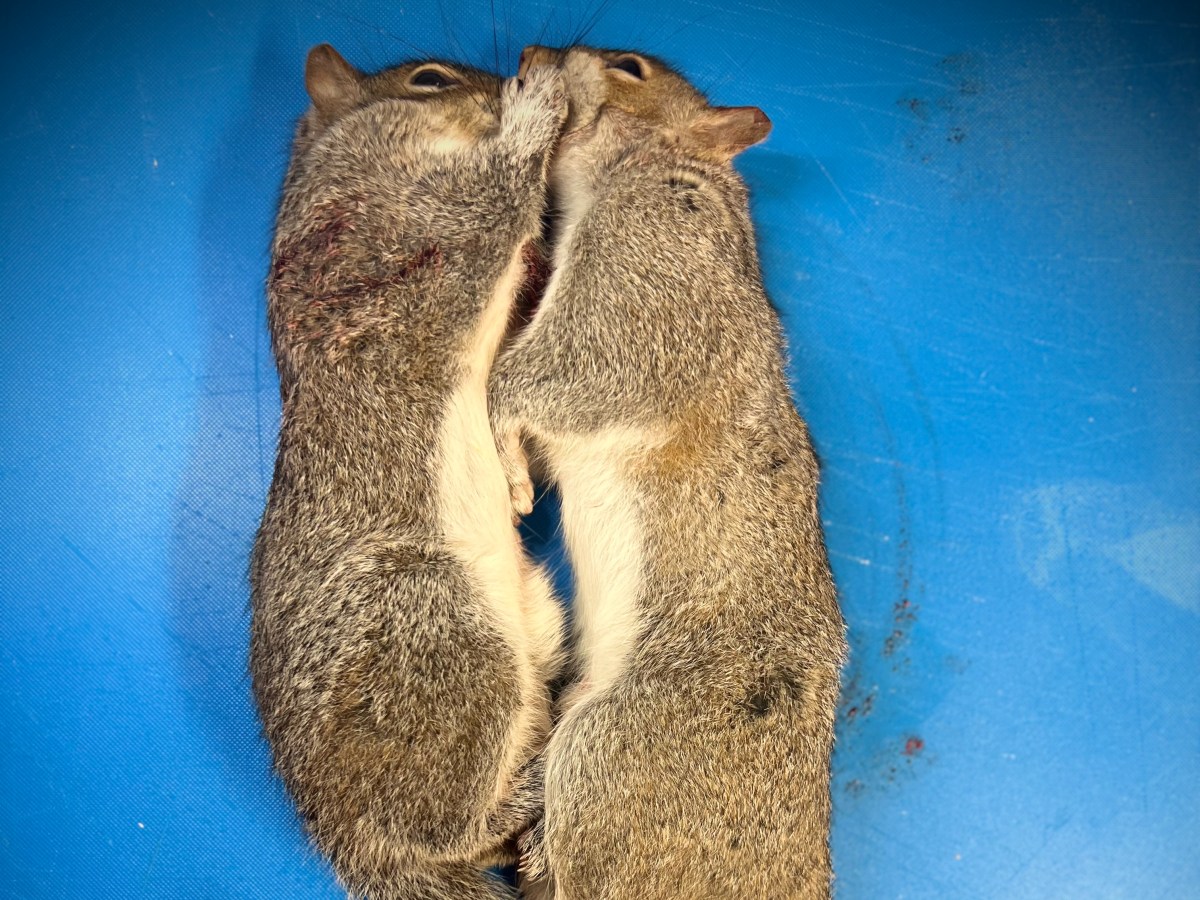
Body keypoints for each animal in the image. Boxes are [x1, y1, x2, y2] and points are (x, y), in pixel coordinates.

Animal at [249, 45, 567, 899]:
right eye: (429, 79)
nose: (502, 81)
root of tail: (352, 840)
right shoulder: (400, 242)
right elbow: (488, 207)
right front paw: (538, 105)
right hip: (436, 628)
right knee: (441, 827)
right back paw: (524, 793)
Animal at [489, 46, 848, 899]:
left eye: (630, 66)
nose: (530, 55)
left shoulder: (655, 272)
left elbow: (568, 377)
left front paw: (498, 424)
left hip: (616, 747)